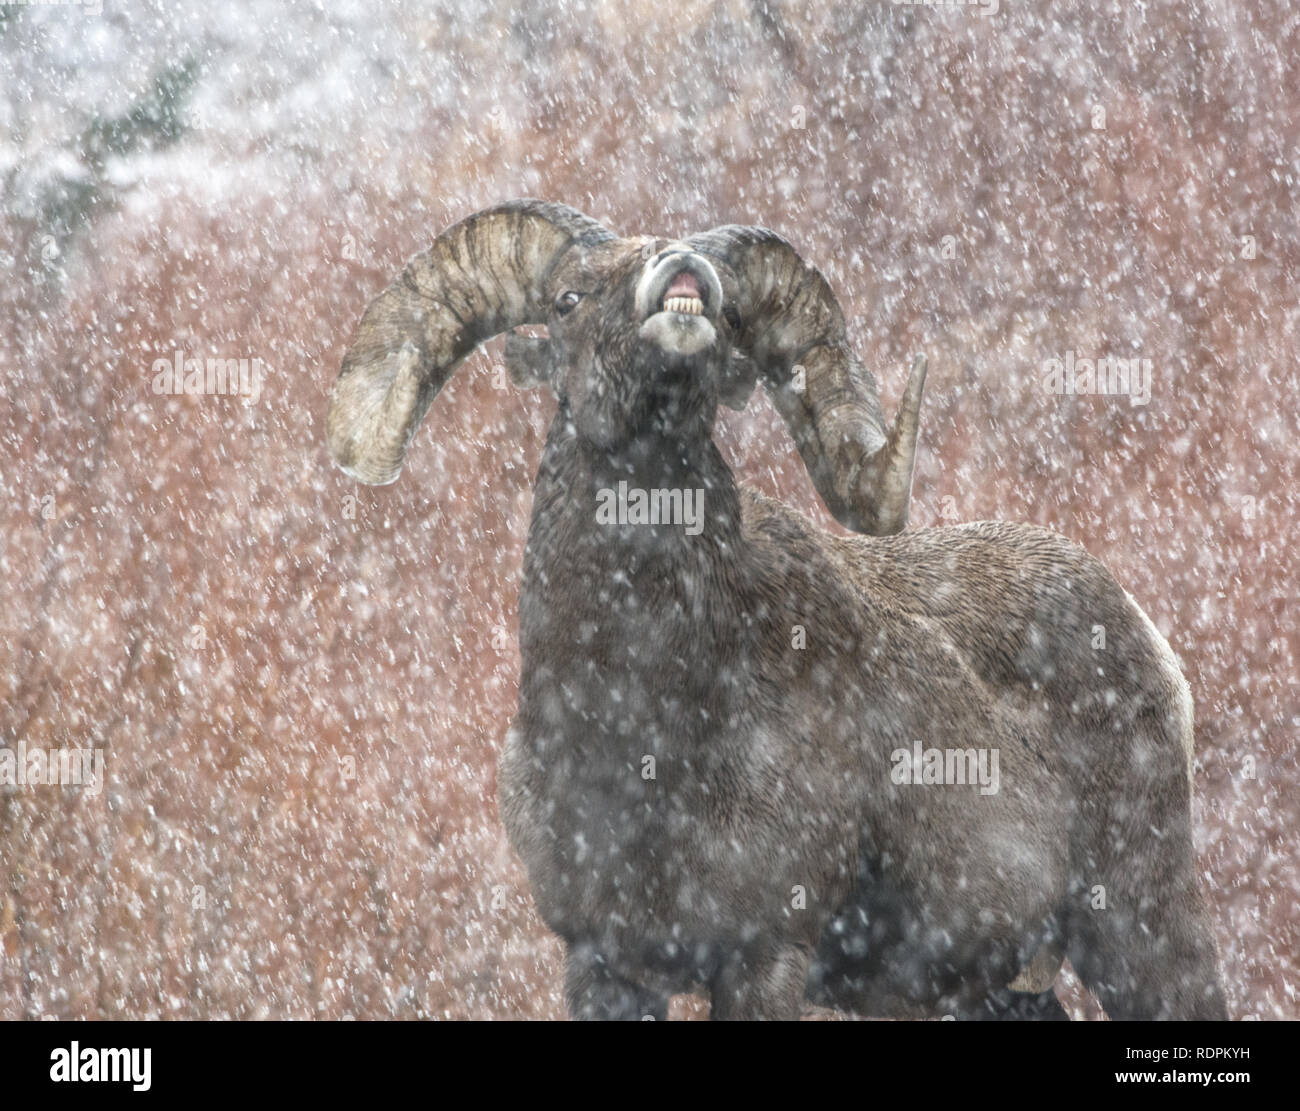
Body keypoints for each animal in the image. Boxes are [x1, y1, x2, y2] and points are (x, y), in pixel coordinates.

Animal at [326, 199, 1227, 1021]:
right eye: (567, 299)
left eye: (727, 316)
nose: (685, 273)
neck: (640, 732)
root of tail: (1149, 641)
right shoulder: (603, 964)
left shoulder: (766, 955)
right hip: (996, 991)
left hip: (1141, 926)